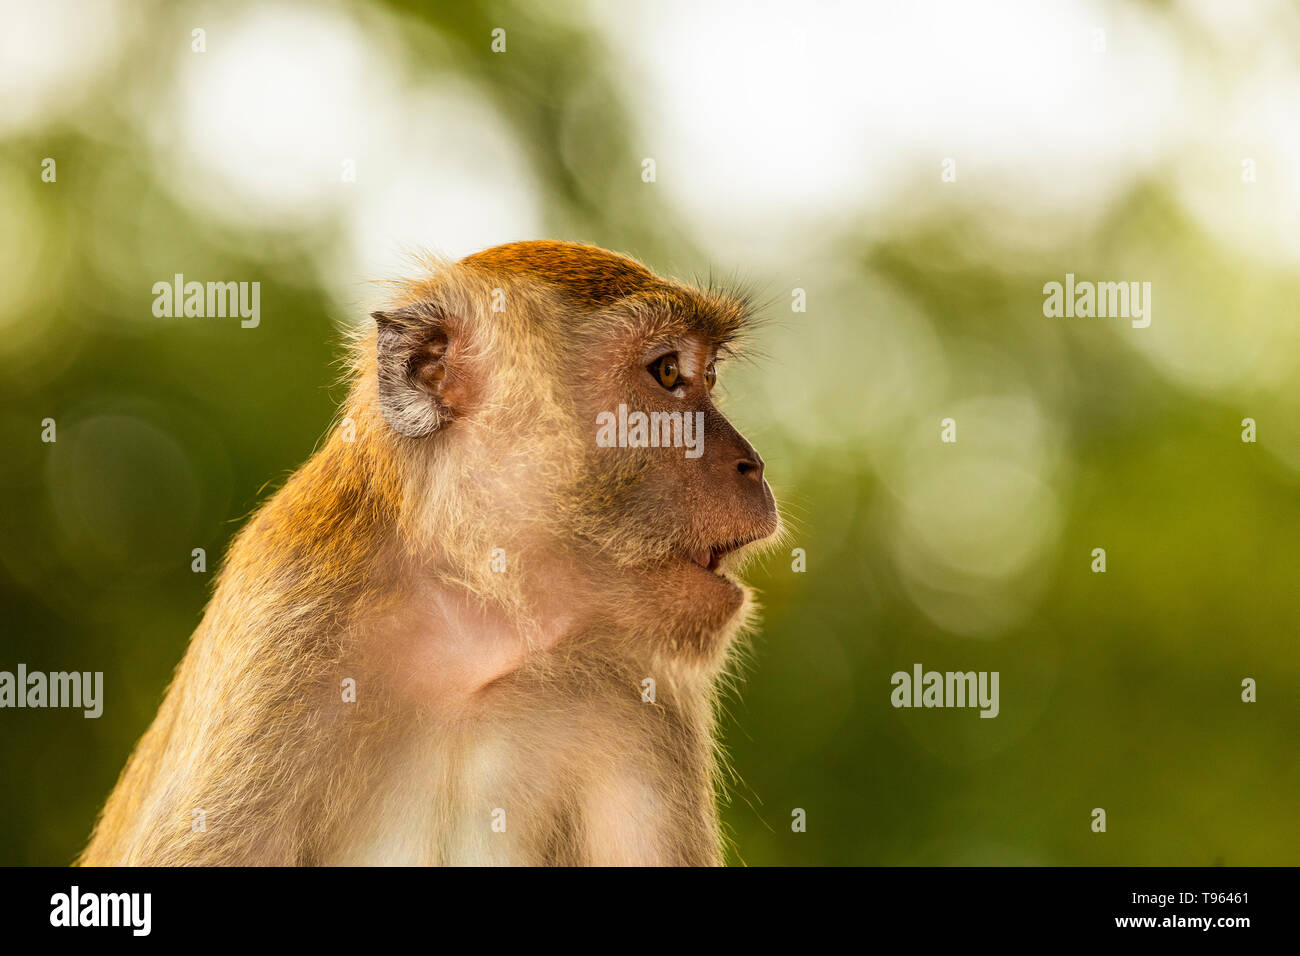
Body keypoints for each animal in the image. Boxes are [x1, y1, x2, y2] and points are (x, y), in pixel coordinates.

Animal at [79, 240, 780, 866]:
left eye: (709, 375)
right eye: (667, 372)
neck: (473, 625)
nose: (754, 464)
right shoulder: (289, 623)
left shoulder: (644, 695)